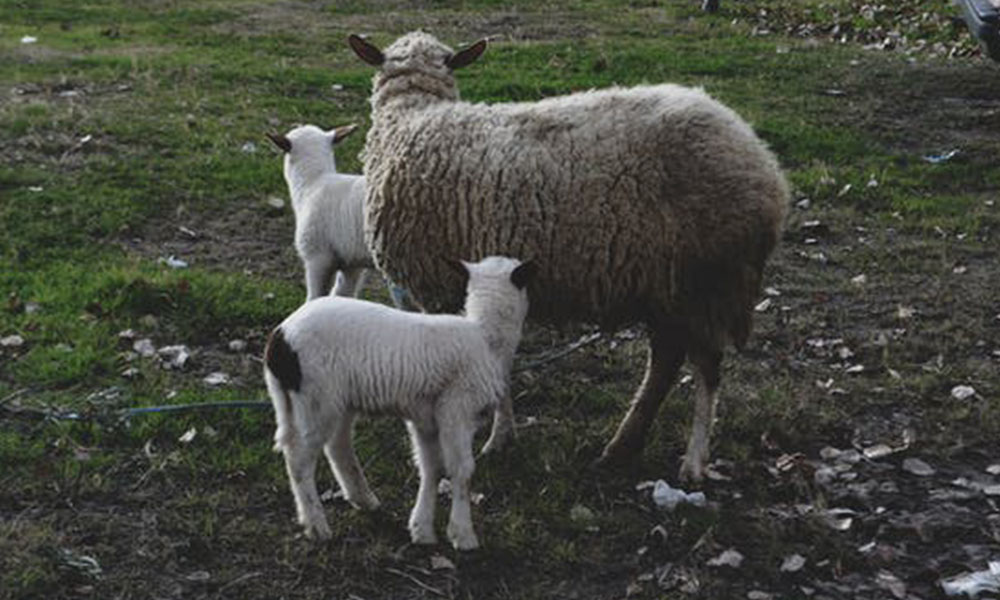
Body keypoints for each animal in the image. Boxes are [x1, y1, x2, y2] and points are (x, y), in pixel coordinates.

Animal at [264, 255, 536, 549]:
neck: (486, 335)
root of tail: (280, 338)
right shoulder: (456, 410)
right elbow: (462, 470)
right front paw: (462, 534)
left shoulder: (426, 419)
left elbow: (431, 468)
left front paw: (422, 529)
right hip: (316, 399)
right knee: (299, 459)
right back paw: (316, 524)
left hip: (325, 400)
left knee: (336, 446)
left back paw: (363, 499)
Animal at [348, 31, 790, 482]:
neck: (412, 117)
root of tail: (767, 170)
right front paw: (500, 434)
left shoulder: (434, 286)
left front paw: (487, 437)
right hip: (669, 288)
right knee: (667, 362)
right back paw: (622, 447)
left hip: (701, 282)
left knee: (705, 367)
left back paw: (693, 459)